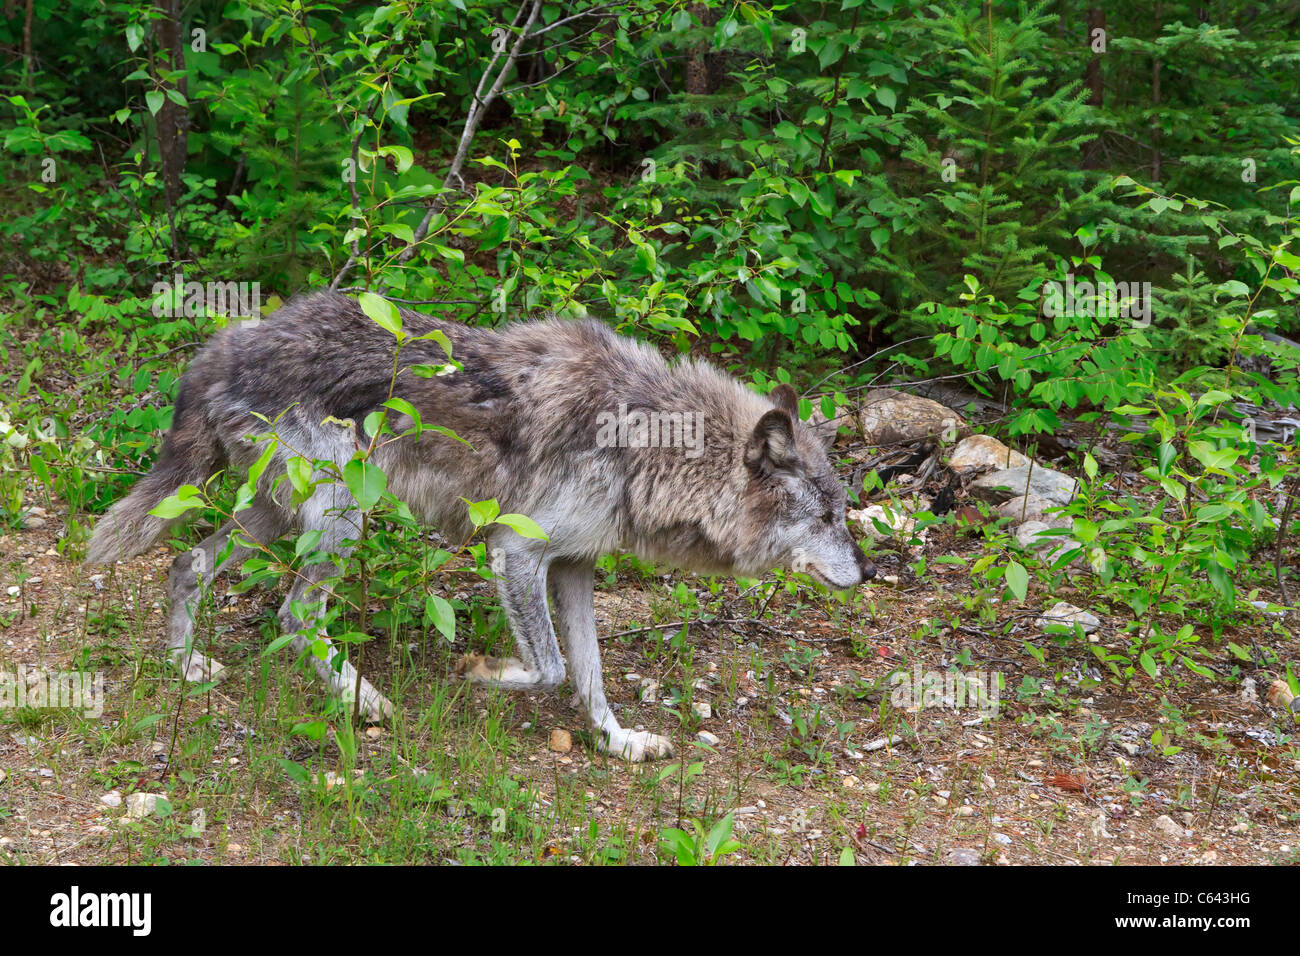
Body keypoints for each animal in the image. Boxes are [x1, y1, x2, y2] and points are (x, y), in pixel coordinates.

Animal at [87, 291, 875, 761]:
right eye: (829, 515)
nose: (867, 573)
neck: (649, 441)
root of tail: (225, 345)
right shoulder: (514, 551)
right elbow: (550, 667)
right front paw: (481, 671)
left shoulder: (575, 567)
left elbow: (590, 675)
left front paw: (618, 742)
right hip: (341, 523)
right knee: (295, 611)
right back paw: (365, 702)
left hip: (277, 516)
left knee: (187, 564)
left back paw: (185, 666)